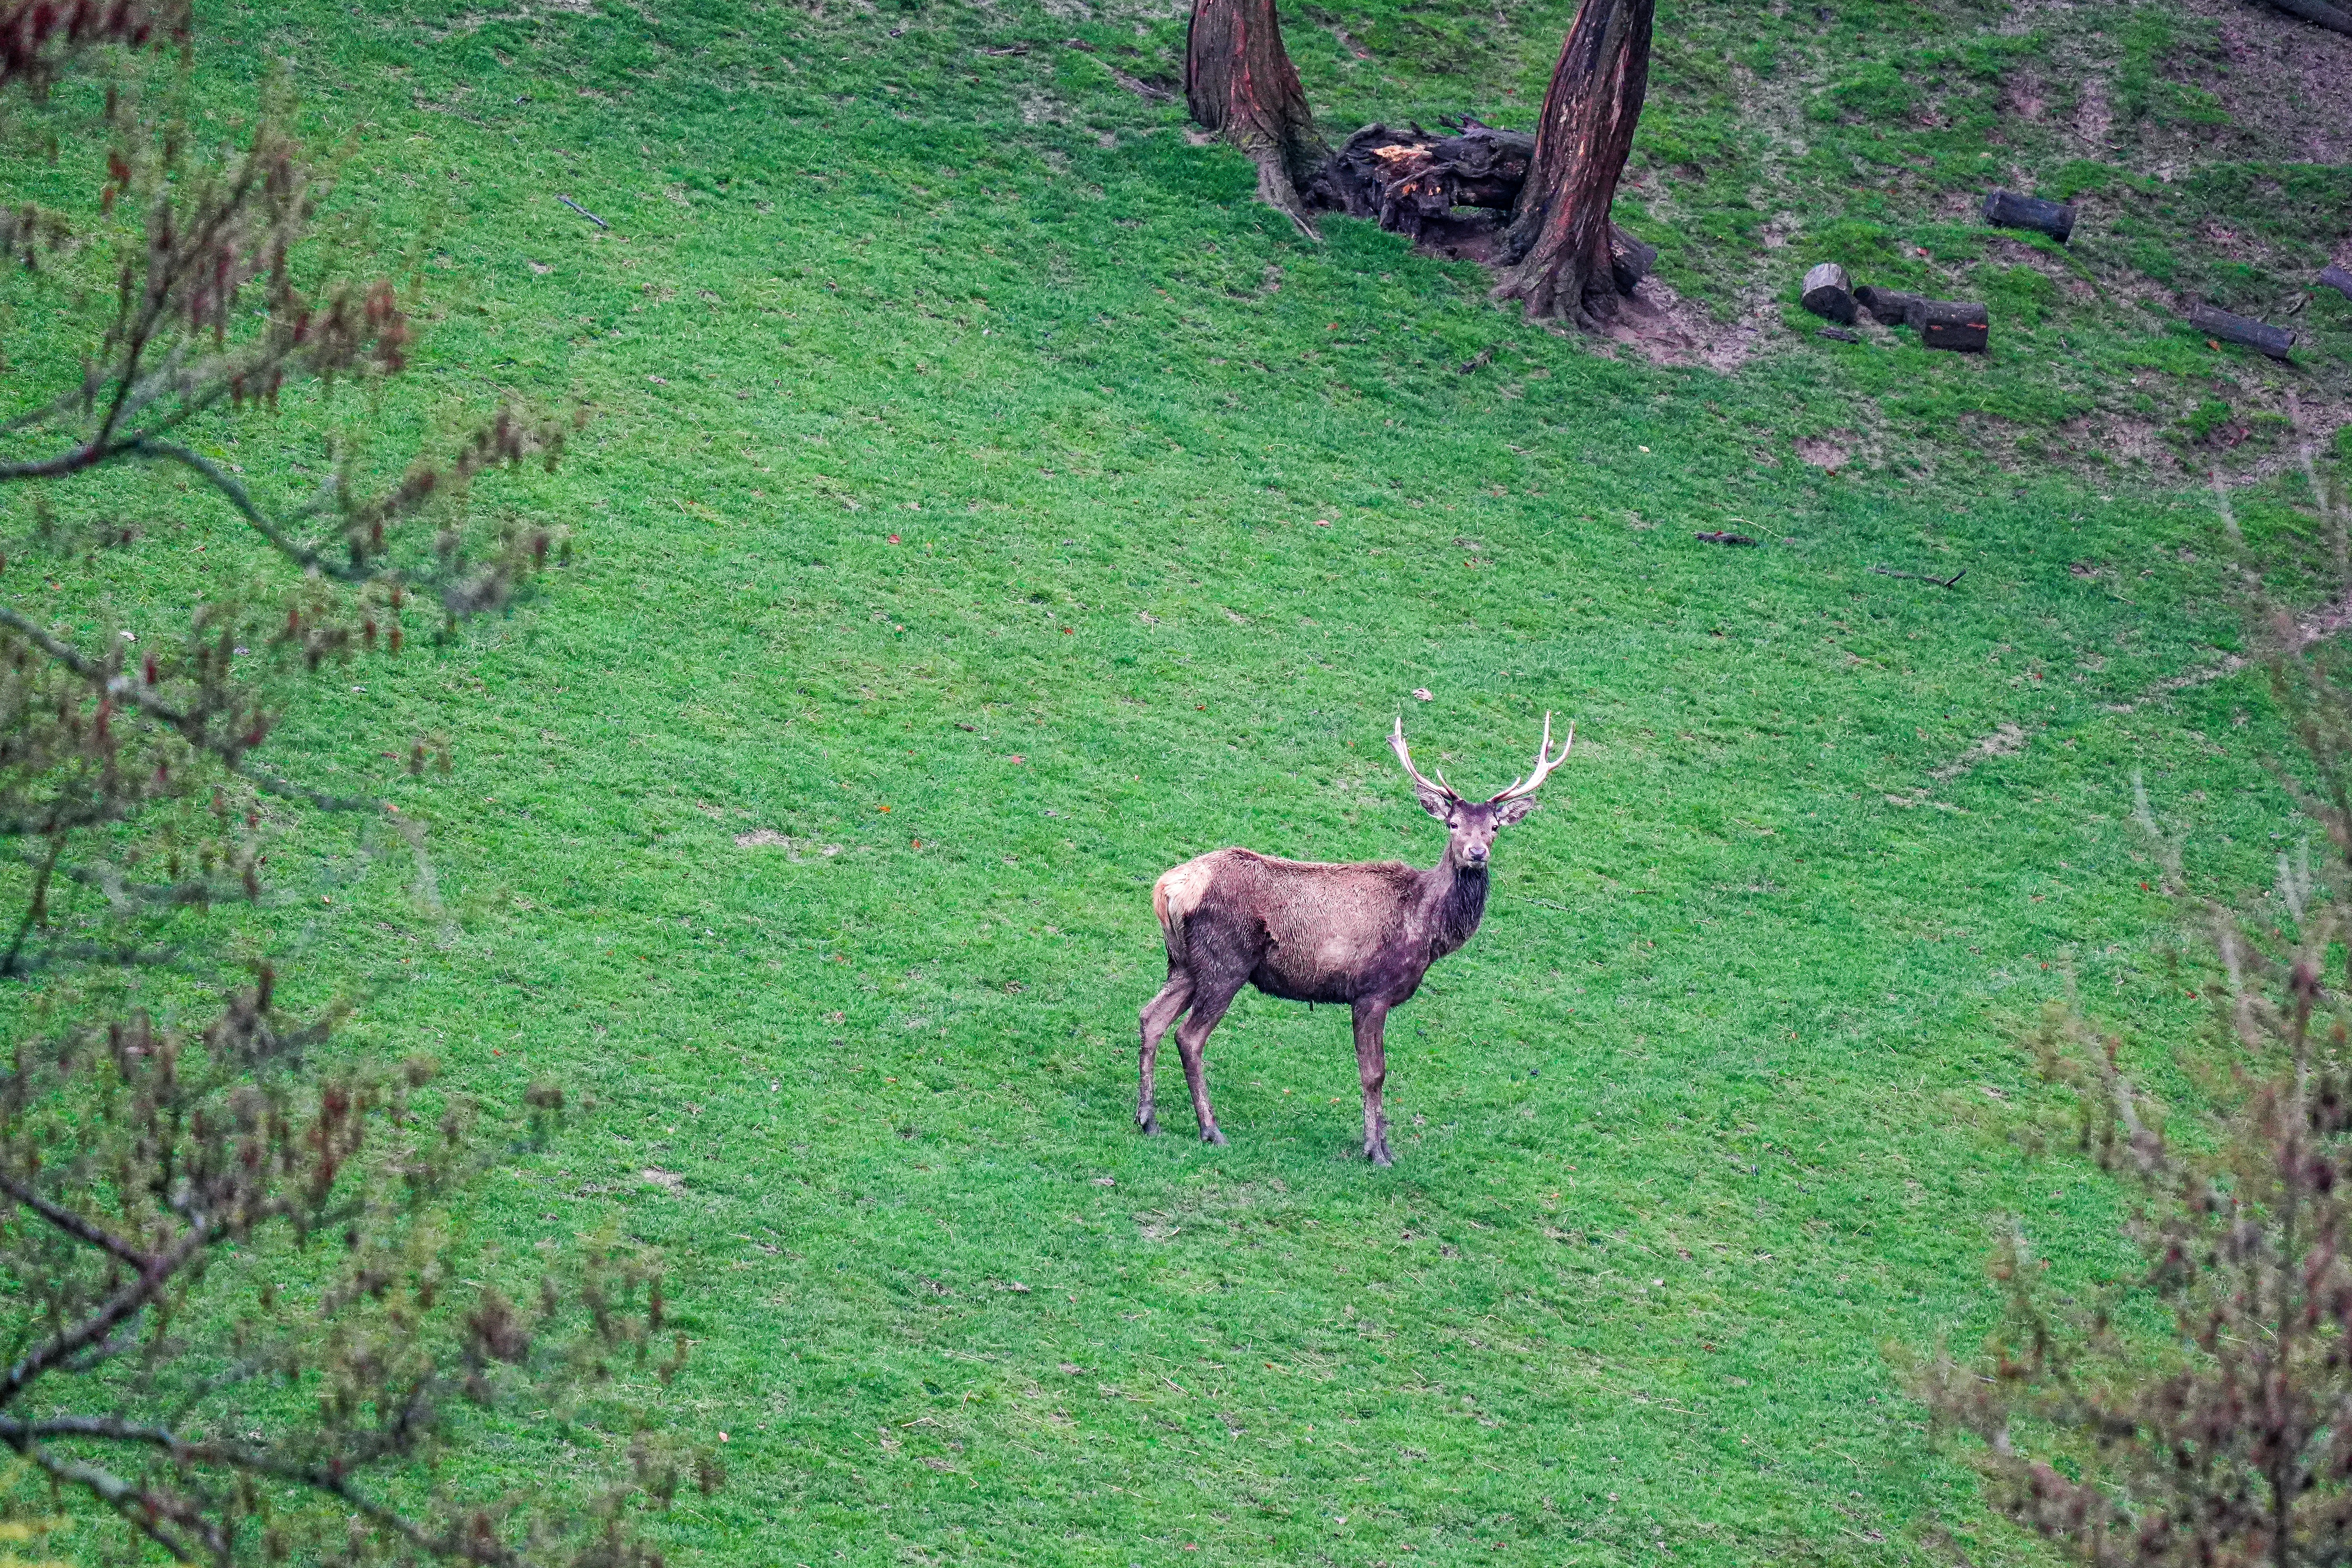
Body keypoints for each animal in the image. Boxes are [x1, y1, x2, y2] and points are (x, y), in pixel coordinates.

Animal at [1138, 714, 1572, 1165]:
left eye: (1494, 827)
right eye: (1453, 824)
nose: (1476, 853)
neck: (1427, 929)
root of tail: (1167, 888)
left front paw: (1383, 1145)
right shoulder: (1372, 991)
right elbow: (1375, 1072)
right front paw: (1376, 1150)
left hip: (1183, 962)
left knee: (1151, 1018)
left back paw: (1148, 1119)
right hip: (1225, 962)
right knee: (1189, 1036)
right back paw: (1211, 1129)